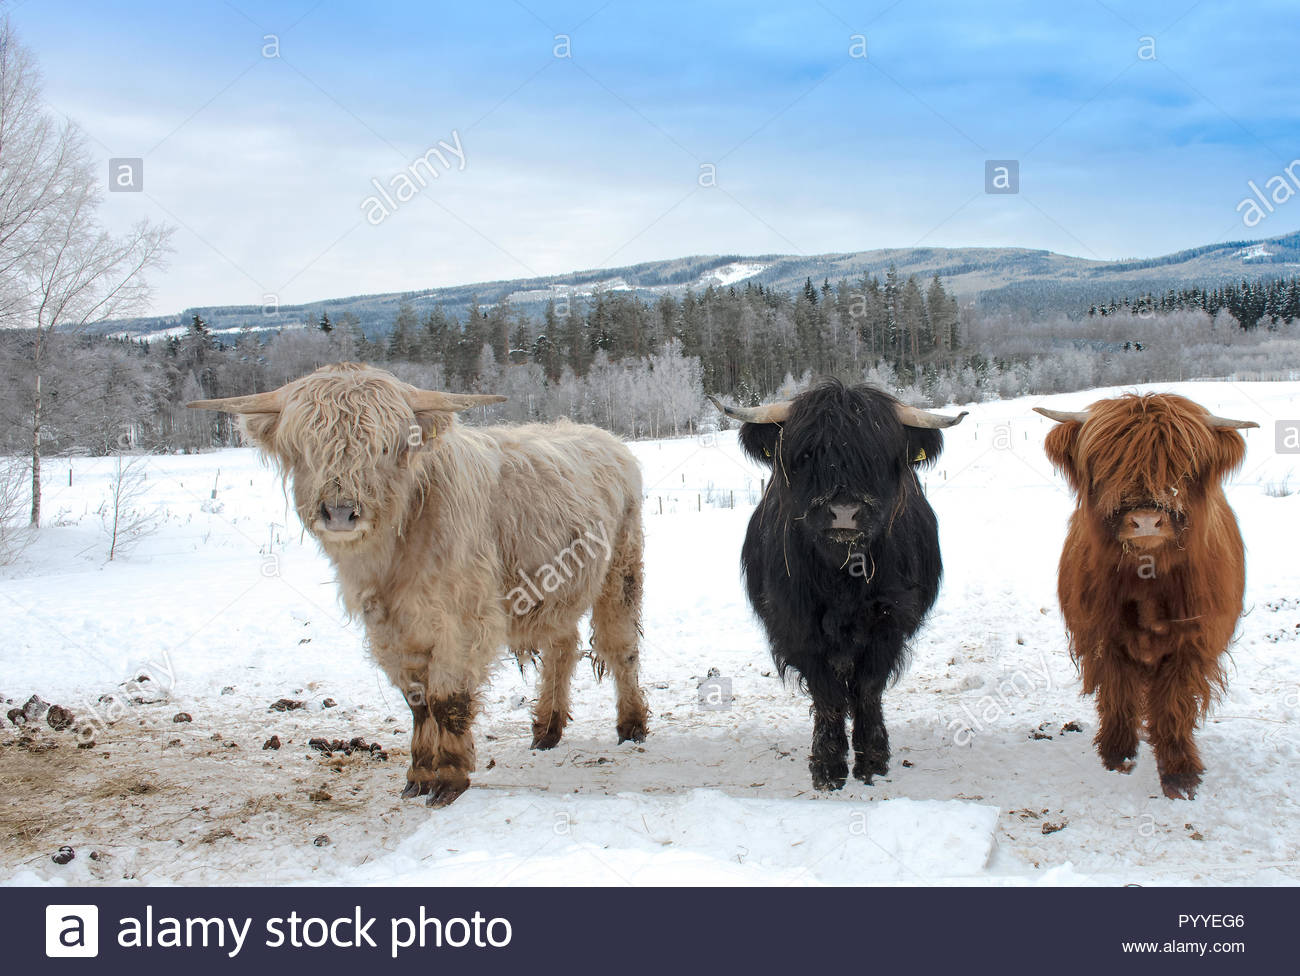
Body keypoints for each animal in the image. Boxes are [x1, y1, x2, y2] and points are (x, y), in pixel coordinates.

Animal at [189, 363, 648, 807]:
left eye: (384, 447)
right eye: (305, 447)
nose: (339, 512)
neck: (394, 552)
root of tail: (606, 439)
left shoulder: (463, 621)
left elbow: (448, 701)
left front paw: (449, 779)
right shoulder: (391, 628)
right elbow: (417, 702)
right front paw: (419, 775)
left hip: (620, 572)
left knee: (619, 647)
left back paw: (631, 726)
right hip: (558, 592)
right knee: (562, 648)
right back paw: (546, 729)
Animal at [710, 381, 966, 791]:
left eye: (876, 454)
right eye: (808, 454)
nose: (844, 512)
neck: (843, 574)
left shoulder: (889, 623)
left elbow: (867, 688)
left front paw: (872, 758)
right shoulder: (797, 626)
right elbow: (827, 694)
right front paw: (828, 766)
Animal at [1035, 394, 1257, 799]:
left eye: (1184, 466)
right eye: (1109, 465)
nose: (1146, 521)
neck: (1148, 581)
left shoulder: (1193, 646)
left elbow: (1173, 704)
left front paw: (1180, 771)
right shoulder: (1103, 638)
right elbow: (1118, 694)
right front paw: (1117, 753)